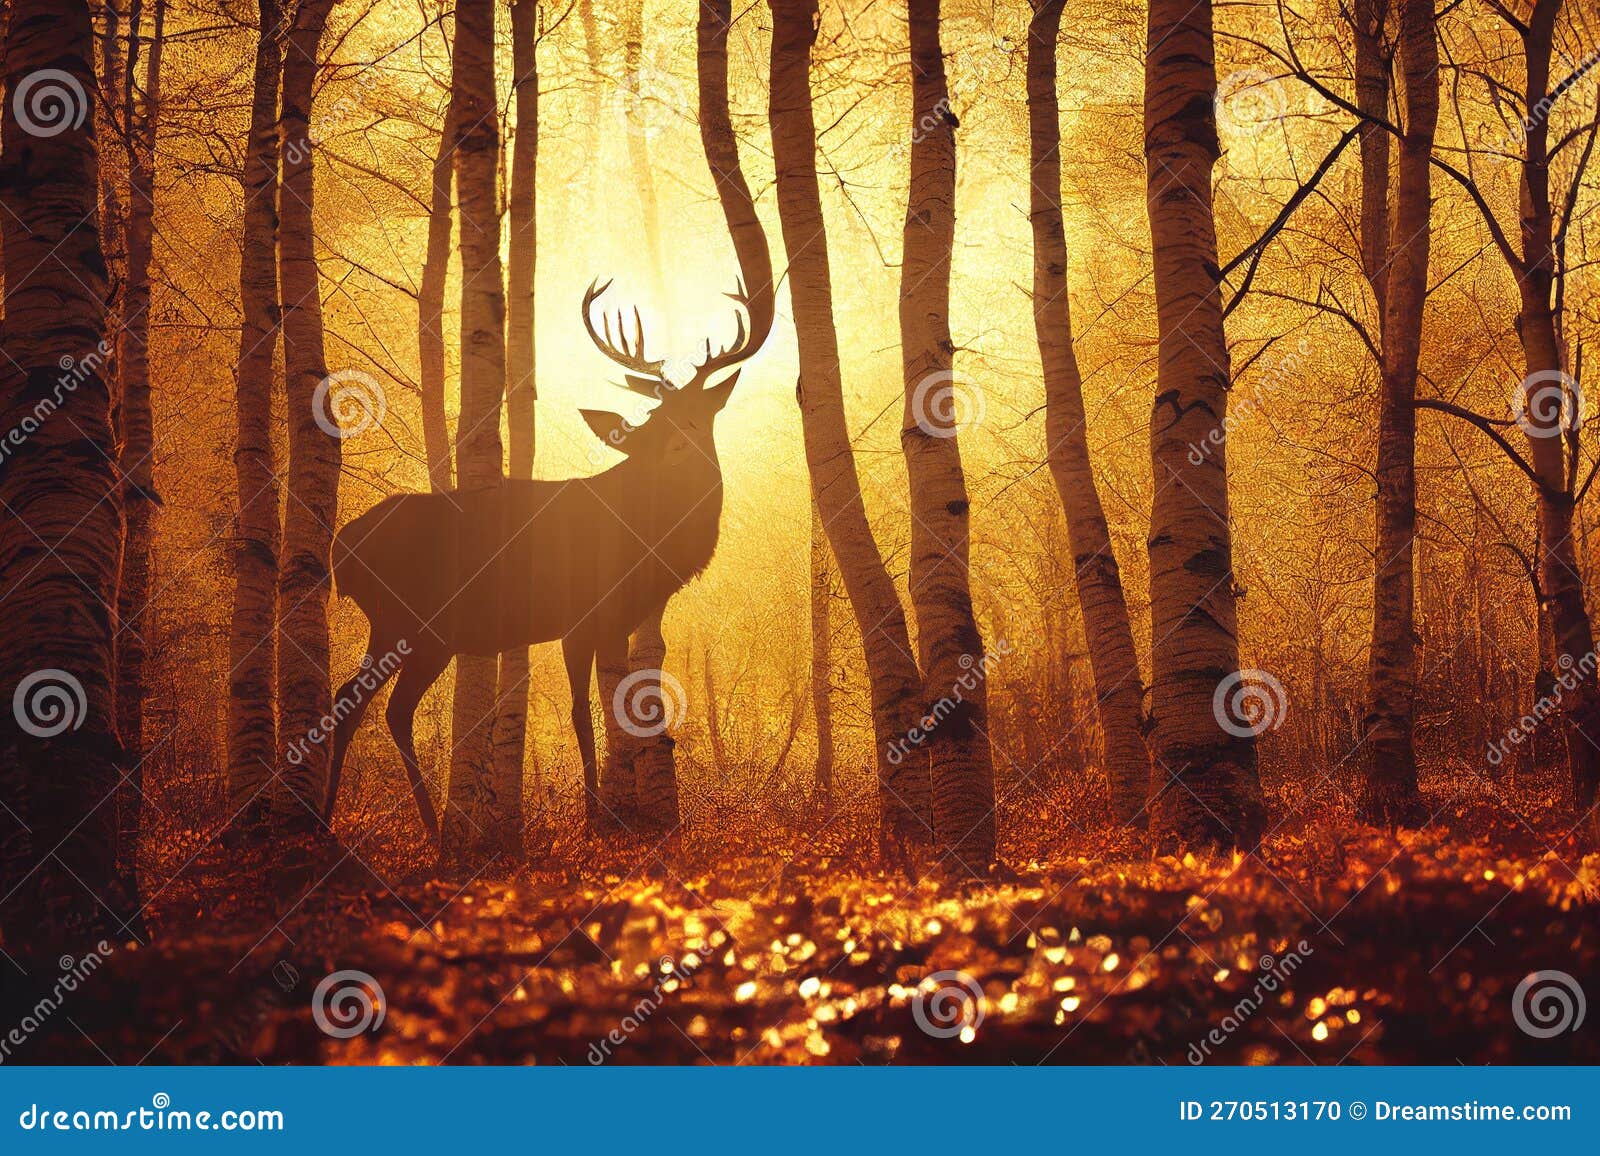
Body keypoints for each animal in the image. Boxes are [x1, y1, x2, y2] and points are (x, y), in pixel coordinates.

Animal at [320, 276, 772, 840]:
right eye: (651, 420)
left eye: (695, 417)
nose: (667, 449)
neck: (648, 539)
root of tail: (341, 549)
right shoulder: (581, 617)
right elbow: (583, 711)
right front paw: (595, 817)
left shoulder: (612, 622)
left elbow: (618, 706)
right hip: (409, 622)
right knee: (373, 707)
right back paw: (390, 826)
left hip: (409, 630)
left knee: (371, 706)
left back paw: (379, 823)